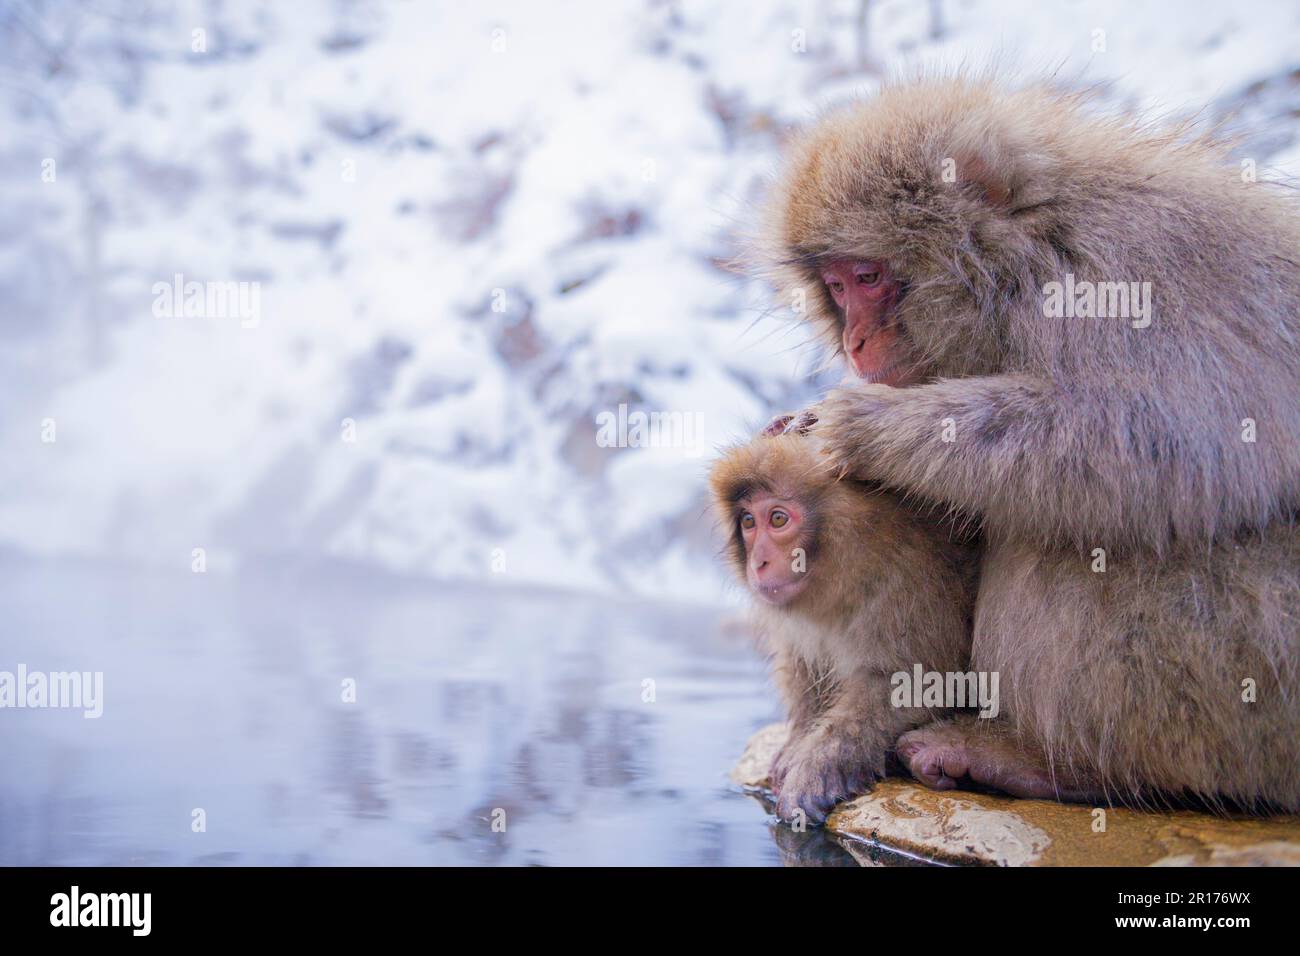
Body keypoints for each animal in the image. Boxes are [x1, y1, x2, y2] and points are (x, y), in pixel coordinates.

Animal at [710, 431, 978, 823]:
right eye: (748, 521)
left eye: (778, 519)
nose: (758, 562)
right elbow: (803, 663)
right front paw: (798, 741)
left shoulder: (911, 583)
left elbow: (914, 682)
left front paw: (819, 766)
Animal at [753, 75, 1300, 811]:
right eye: (836, 287)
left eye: (868, 277)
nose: (855, 341)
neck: (1026, 266)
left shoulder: (1125, 272)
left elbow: (1173, 441)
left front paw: (865, 424)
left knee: (1074, 539)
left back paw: (1062, 766)